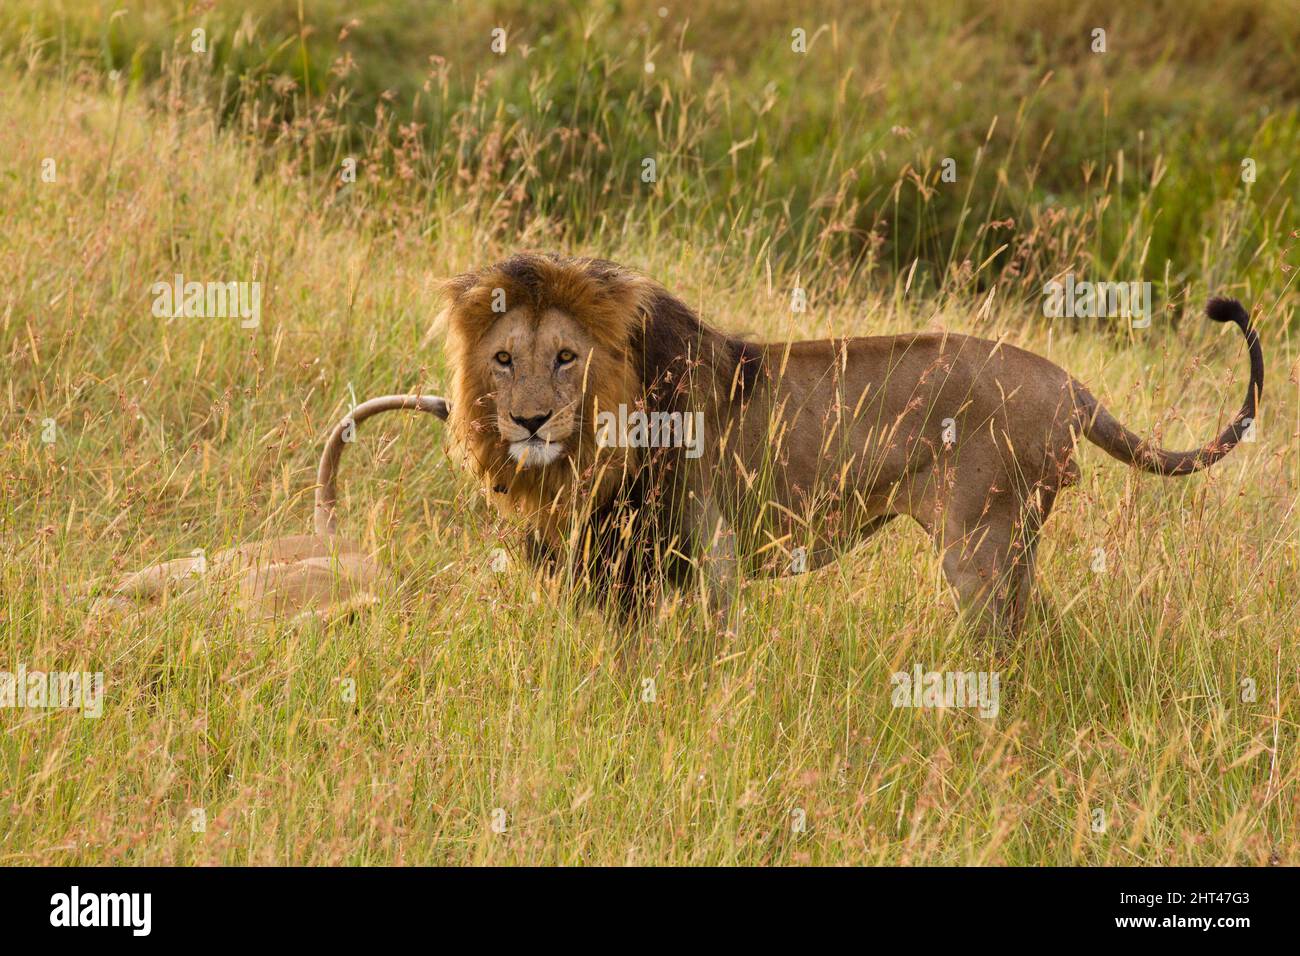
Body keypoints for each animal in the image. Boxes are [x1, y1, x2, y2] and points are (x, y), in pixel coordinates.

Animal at [440, 253, 1263, 639]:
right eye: (503, 358)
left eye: (566, 358)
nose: (530, 422)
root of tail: (1069, 383)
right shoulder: (622, 569)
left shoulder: (710, 548)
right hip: (1016, 546)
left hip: (979, 546)